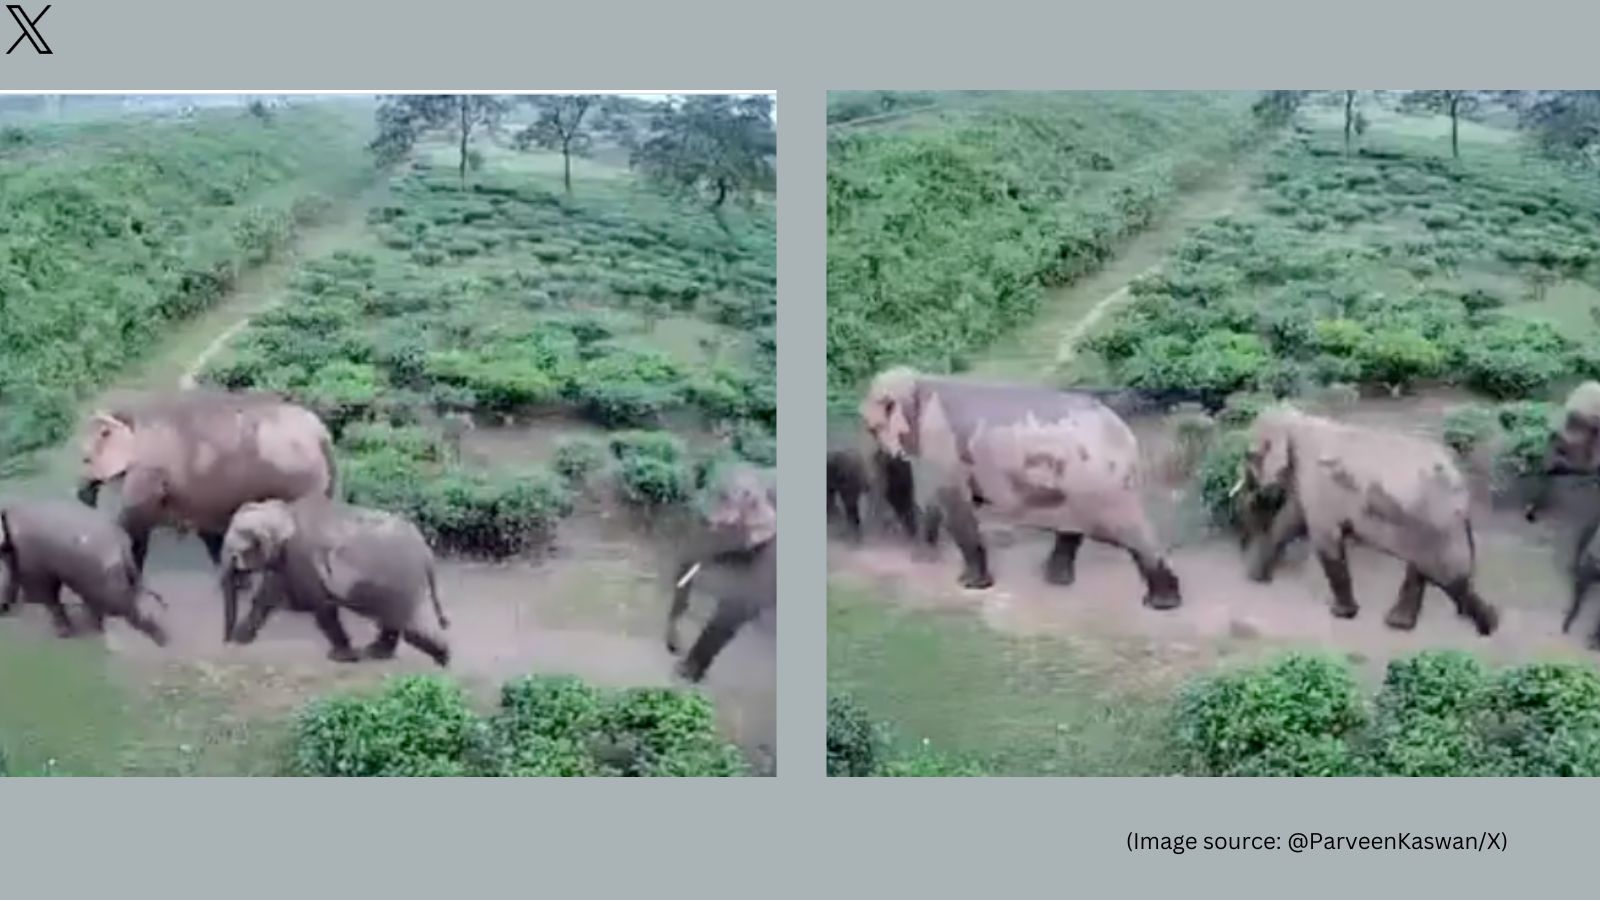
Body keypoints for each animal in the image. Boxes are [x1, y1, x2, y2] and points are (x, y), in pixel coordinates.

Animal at [0, 499, 168, 646]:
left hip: (101, 581)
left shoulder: (33, 563)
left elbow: (46, 595)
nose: (4, 609)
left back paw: (158, 636)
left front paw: (64, 632)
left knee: (120, 606)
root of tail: (122, 546)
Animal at [76, 389, 337, 576]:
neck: (130, 413)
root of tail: (322, 435)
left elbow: (135, 520)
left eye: (86, 458)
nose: (85, 496)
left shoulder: (149, 470)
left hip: (298, 482)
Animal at [218, 497, 451, 666]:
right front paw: (241, 639)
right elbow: (267, 596)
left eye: (235, 555)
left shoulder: (302, 559)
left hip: (400, 582)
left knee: (404, 624)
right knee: (393, 621)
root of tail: (426, 552)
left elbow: (321, 607)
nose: (225, 642)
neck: (283, 511)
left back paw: (442, 658)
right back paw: (378, 653)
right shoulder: (287, 564)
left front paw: (342, 657)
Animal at [858, 366, 1181, 608]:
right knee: (1074, 527)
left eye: (872, 428)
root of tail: (1126, 437)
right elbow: (939, 499)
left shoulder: (939, 436)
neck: (919, 380)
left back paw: (1161, 602)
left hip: (1100, 481)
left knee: (1126, 530)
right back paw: (1056, 580)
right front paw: (923, 560)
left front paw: (970, 585)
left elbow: (953, 500)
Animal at [1231, 404, 1499, 635]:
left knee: (1448, 577)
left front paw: (1341, 613)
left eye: (1249, 454)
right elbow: (1290, 521)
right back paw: (1401, 624)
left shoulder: (1317, 482)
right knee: (1426, 569)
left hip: (1436, 523)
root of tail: (1462, 489)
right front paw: (1256, 577)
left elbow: (1323, 538)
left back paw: (1487, 627)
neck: (1298, 421)